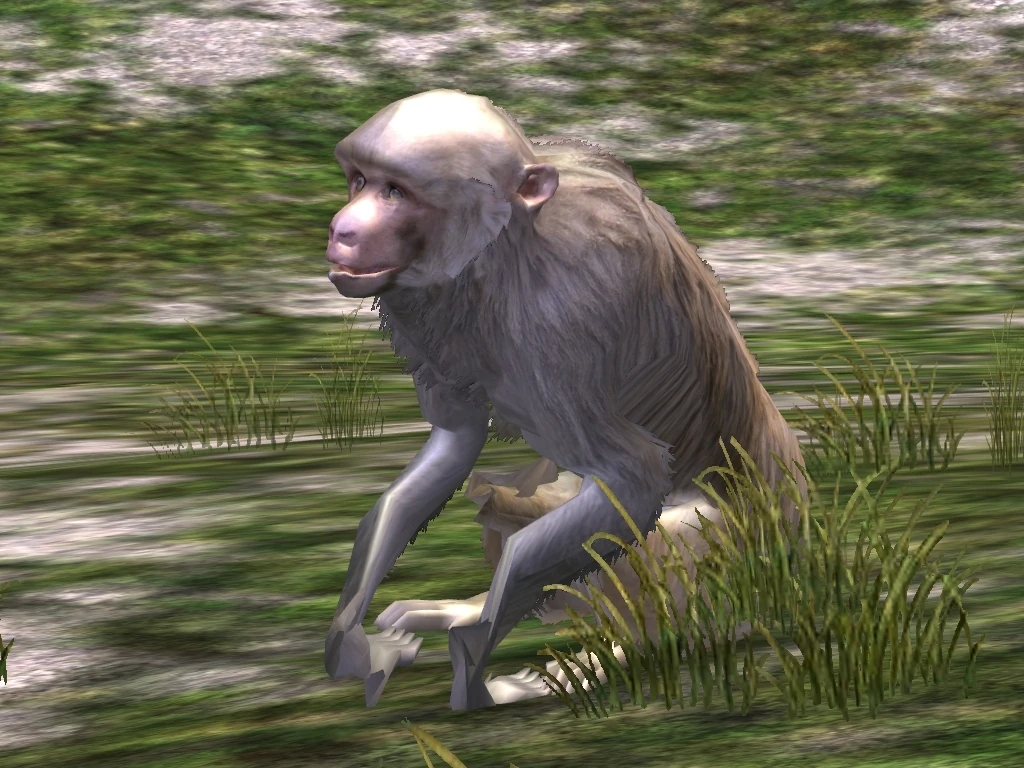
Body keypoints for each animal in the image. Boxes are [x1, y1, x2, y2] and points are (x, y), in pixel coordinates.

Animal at [322, 89, 807, 711]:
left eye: (395, 191)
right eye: (359, 181)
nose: (341, 227)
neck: (499, 254)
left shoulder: (565, 311)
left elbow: (631, 479)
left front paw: (474, 675)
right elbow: (454, 445)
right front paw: (350, 641)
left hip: (752, 569)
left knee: (676, 530)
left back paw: (610, 653)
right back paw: (470, 610)